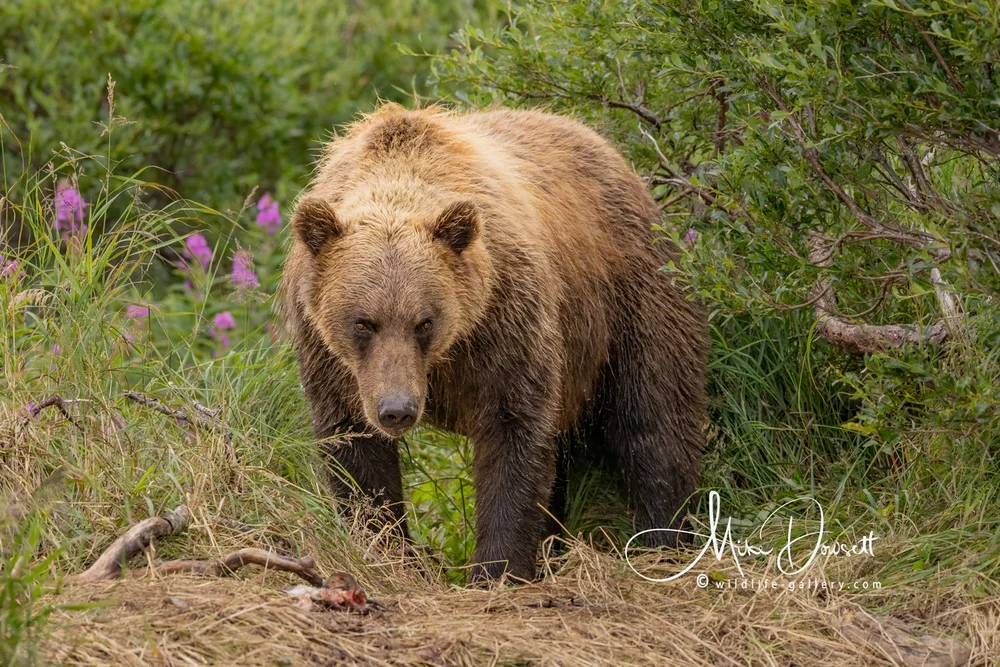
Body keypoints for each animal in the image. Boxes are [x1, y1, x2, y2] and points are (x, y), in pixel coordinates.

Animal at [279, 103, 707, 583]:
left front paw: (496, 568)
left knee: (652, 410)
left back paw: (663, 538)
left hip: (628, 296)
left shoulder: (504, 319)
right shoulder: (331, 354)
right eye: (363, 322)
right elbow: (354, 444)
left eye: (424, 321)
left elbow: (512, 430)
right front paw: (388, 547)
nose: (398, 410)